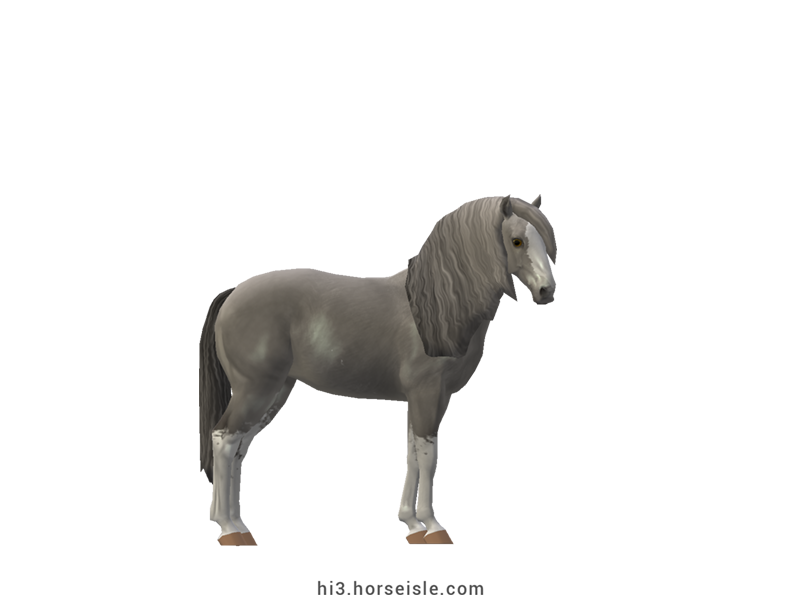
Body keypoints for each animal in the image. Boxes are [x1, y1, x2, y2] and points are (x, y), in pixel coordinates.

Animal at [199, 195, 557, 541]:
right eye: (517, 241)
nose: (547, 289)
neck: (432, 311)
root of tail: (234, 294)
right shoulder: (425, 393)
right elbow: (428, 457)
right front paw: (431, 523)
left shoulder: (429, 397)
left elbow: (414, 451)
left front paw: (410, 521)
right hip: (255, 390)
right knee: (223, 440)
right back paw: (226, 526)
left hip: (268, 394)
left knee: (236, 447)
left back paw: (233, 522)